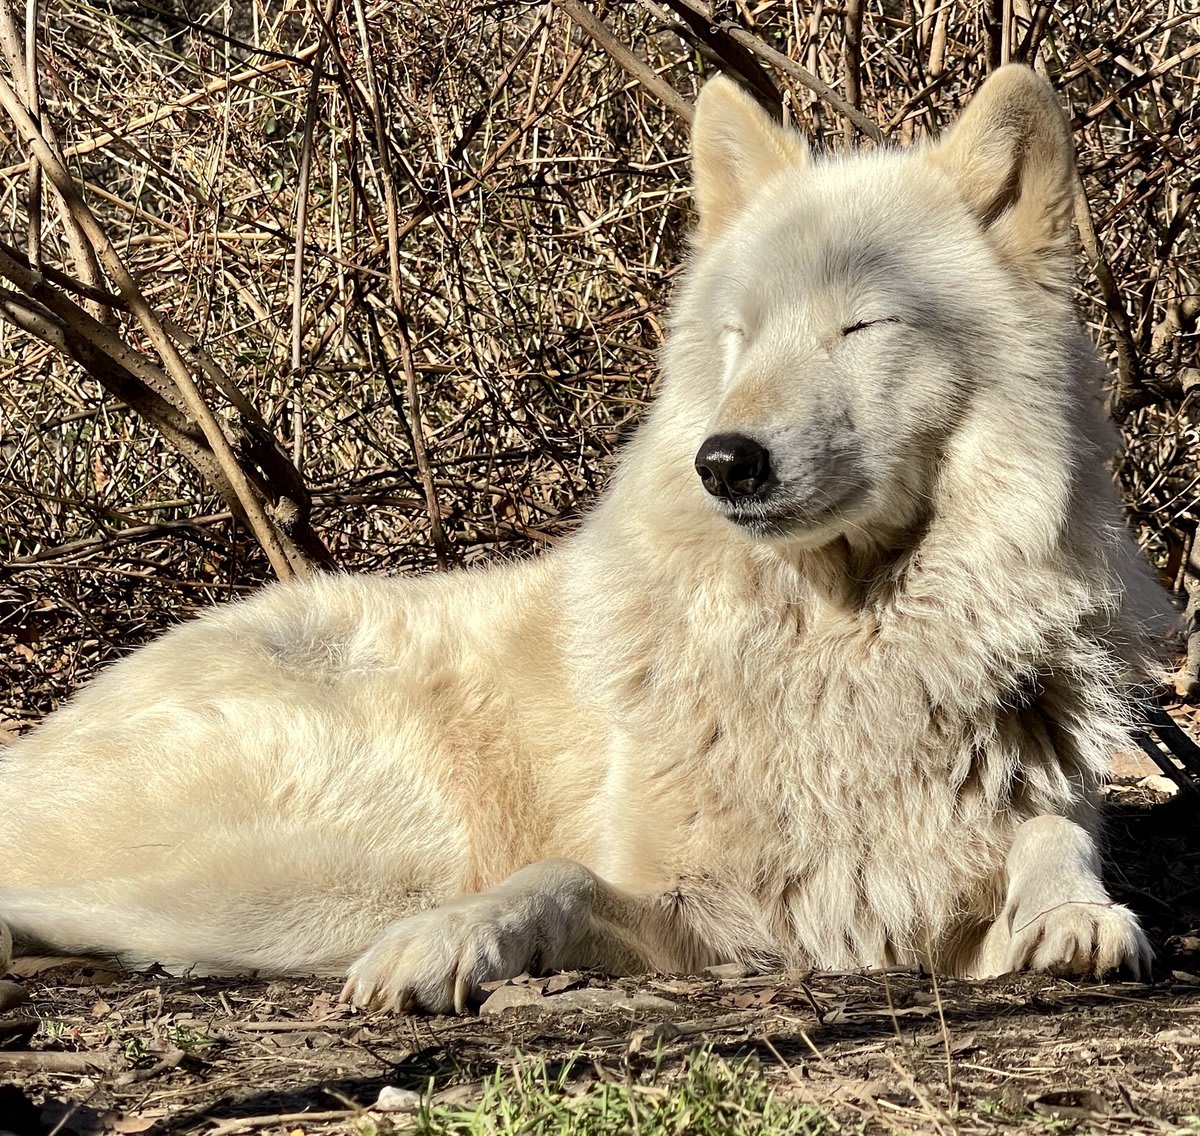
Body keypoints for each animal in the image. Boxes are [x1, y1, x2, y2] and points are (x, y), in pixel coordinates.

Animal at [0, 65, 1172, 1013]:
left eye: (862, 326)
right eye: (740, 337)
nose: (725, 461)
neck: (843, 645)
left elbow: (1055, 838)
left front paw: (1076, 915)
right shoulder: (690, 901)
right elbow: (554, 878)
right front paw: (451, 941)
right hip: (360, 854)